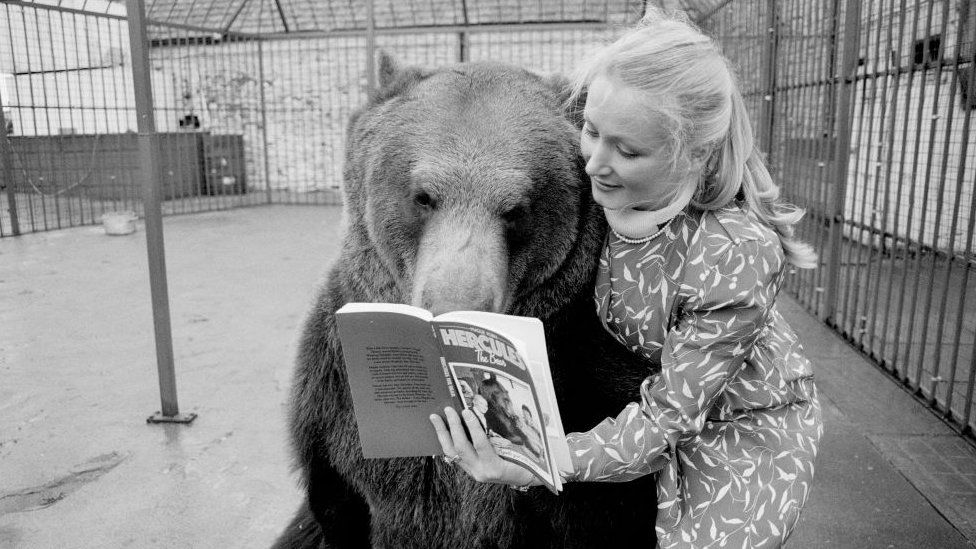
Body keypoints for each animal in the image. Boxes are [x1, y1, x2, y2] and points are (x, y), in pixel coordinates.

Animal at [273, 55, 659, 549]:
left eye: (516, 209)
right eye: (423, 196)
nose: (454, 303)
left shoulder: (590, 377)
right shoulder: (332, 406)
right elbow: (345, 492)